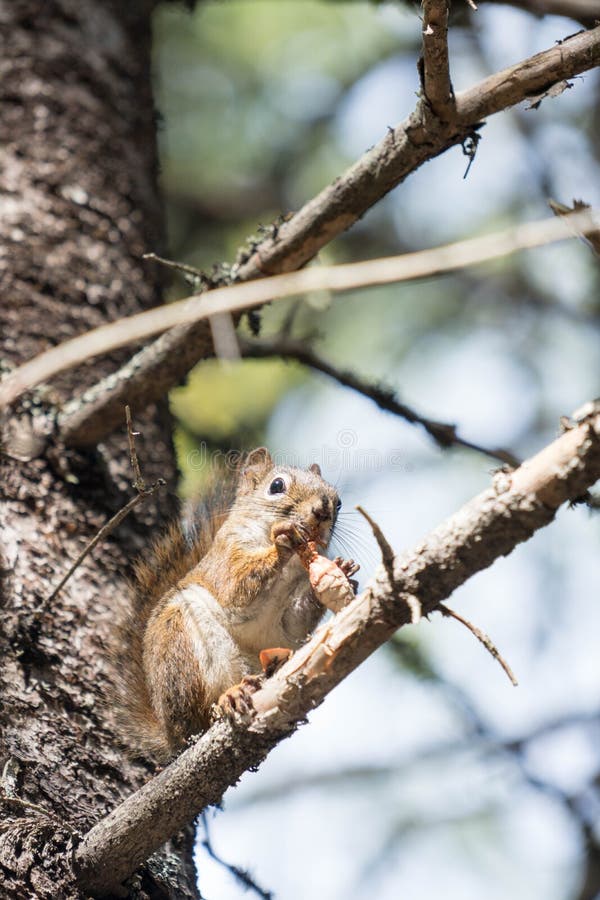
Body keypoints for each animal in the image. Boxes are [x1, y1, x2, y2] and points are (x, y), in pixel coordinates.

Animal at [115, 447, 358, 762]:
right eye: (276, 486)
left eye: (338, 502)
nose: (322, 511)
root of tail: (169, 736)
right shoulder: (226, 560)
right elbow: (238, 589)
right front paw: (281, 543)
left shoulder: (291, 614)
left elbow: (295, 622)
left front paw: (342, 572)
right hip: (180, 640)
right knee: (199, 717)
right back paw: (227, 698)